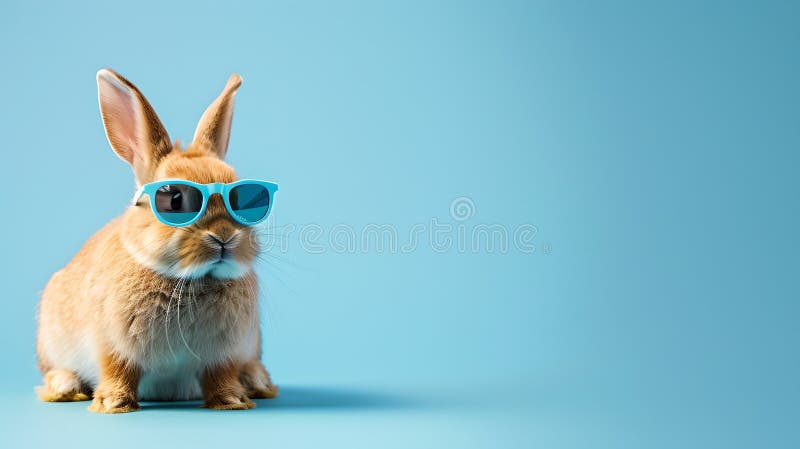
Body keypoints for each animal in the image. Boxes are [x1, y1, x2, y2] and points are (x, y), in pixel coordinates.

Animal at [35, 69, 279, 413]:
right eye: (174, 200)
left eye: (243, 200)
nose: (224, 237)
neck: (188, 280)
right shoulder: (113, 344)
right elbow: (118, 370)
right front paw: (112, 404)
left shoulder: (224, 353)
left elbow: (220, 375)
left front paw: (232, 401)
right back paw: (65, 387)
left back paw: (256, 383)